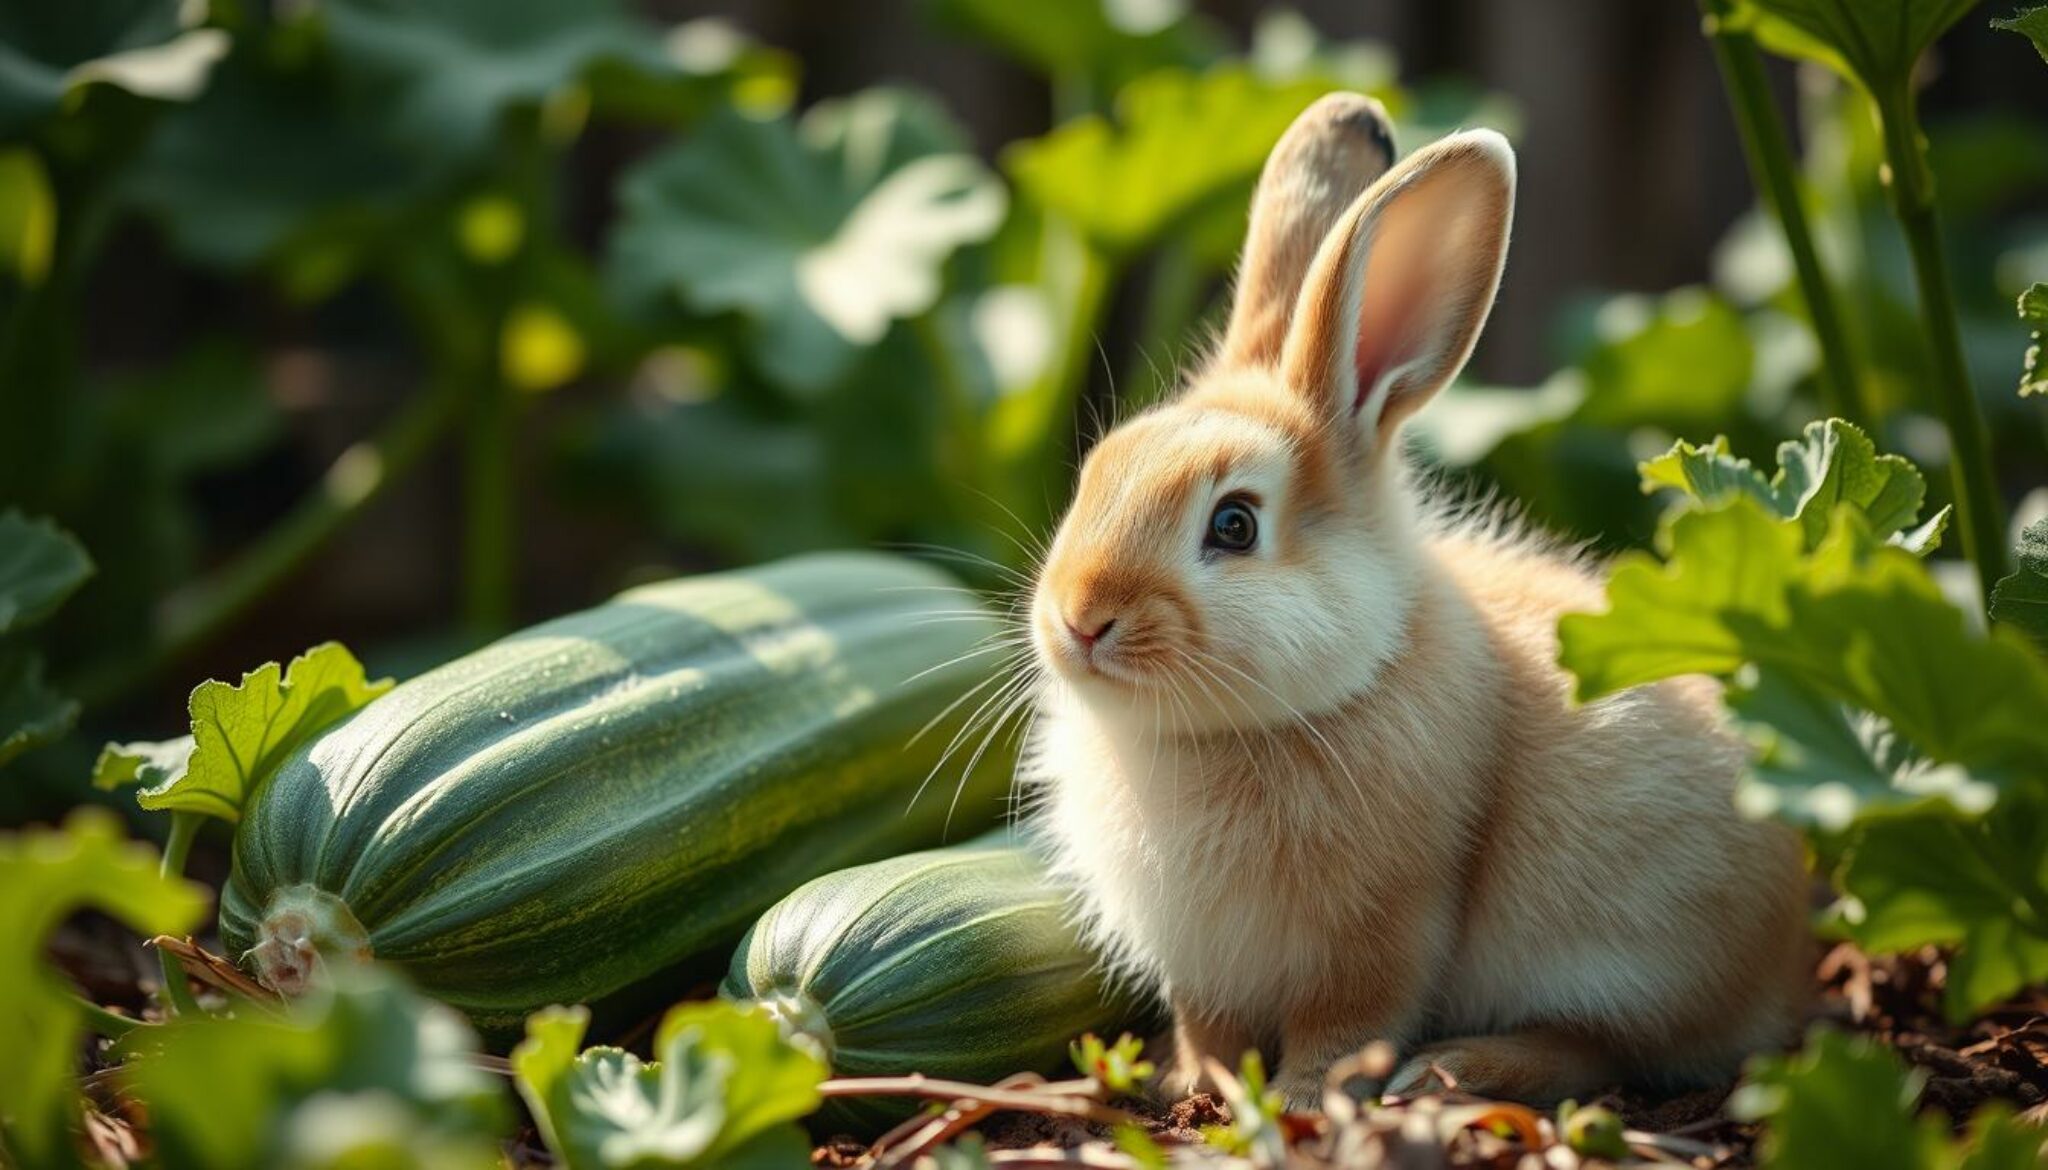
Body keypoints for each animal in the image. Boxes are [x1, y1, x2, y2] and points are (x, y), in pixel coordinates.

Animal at [1017, 93, 1811, 1110]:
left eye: (1233, 525)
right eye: (1095, 474)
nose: (1080, 619)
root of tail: (1785, 962)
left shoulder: (1383, 927)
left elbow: (1349, 1020)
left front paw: (1304, 1098)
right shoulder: (1204, 970)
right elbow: (1211, 1025)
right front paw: (1190, 1079)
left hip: (1627, 948)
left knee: (1604, 1049)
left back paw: (1456, 1069)